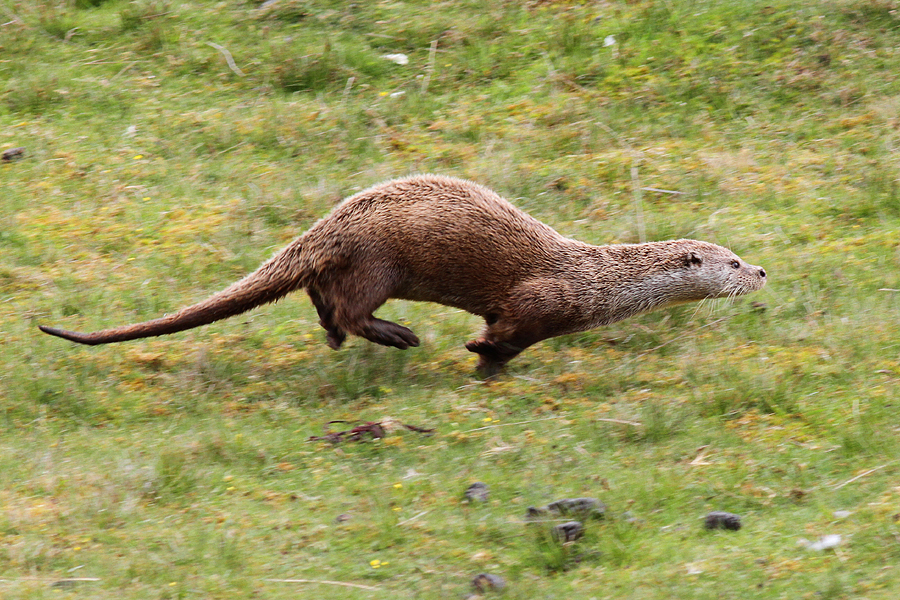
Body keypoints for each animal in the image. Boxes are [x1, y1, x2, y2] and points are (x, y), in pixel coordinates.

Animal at [39, 174, 767, 375]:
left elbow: (504, 339)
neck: (597, 283)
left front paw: (487, 364)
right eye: (730, 261)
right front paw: (479, 355)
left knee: (322, 299)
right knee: (350, 305)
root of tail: (329, 223)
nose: (760, 269)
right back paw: (399, 337)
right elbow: (507, 332)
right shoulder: (542, 300)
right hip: (378, 263)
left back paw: (338, 338)